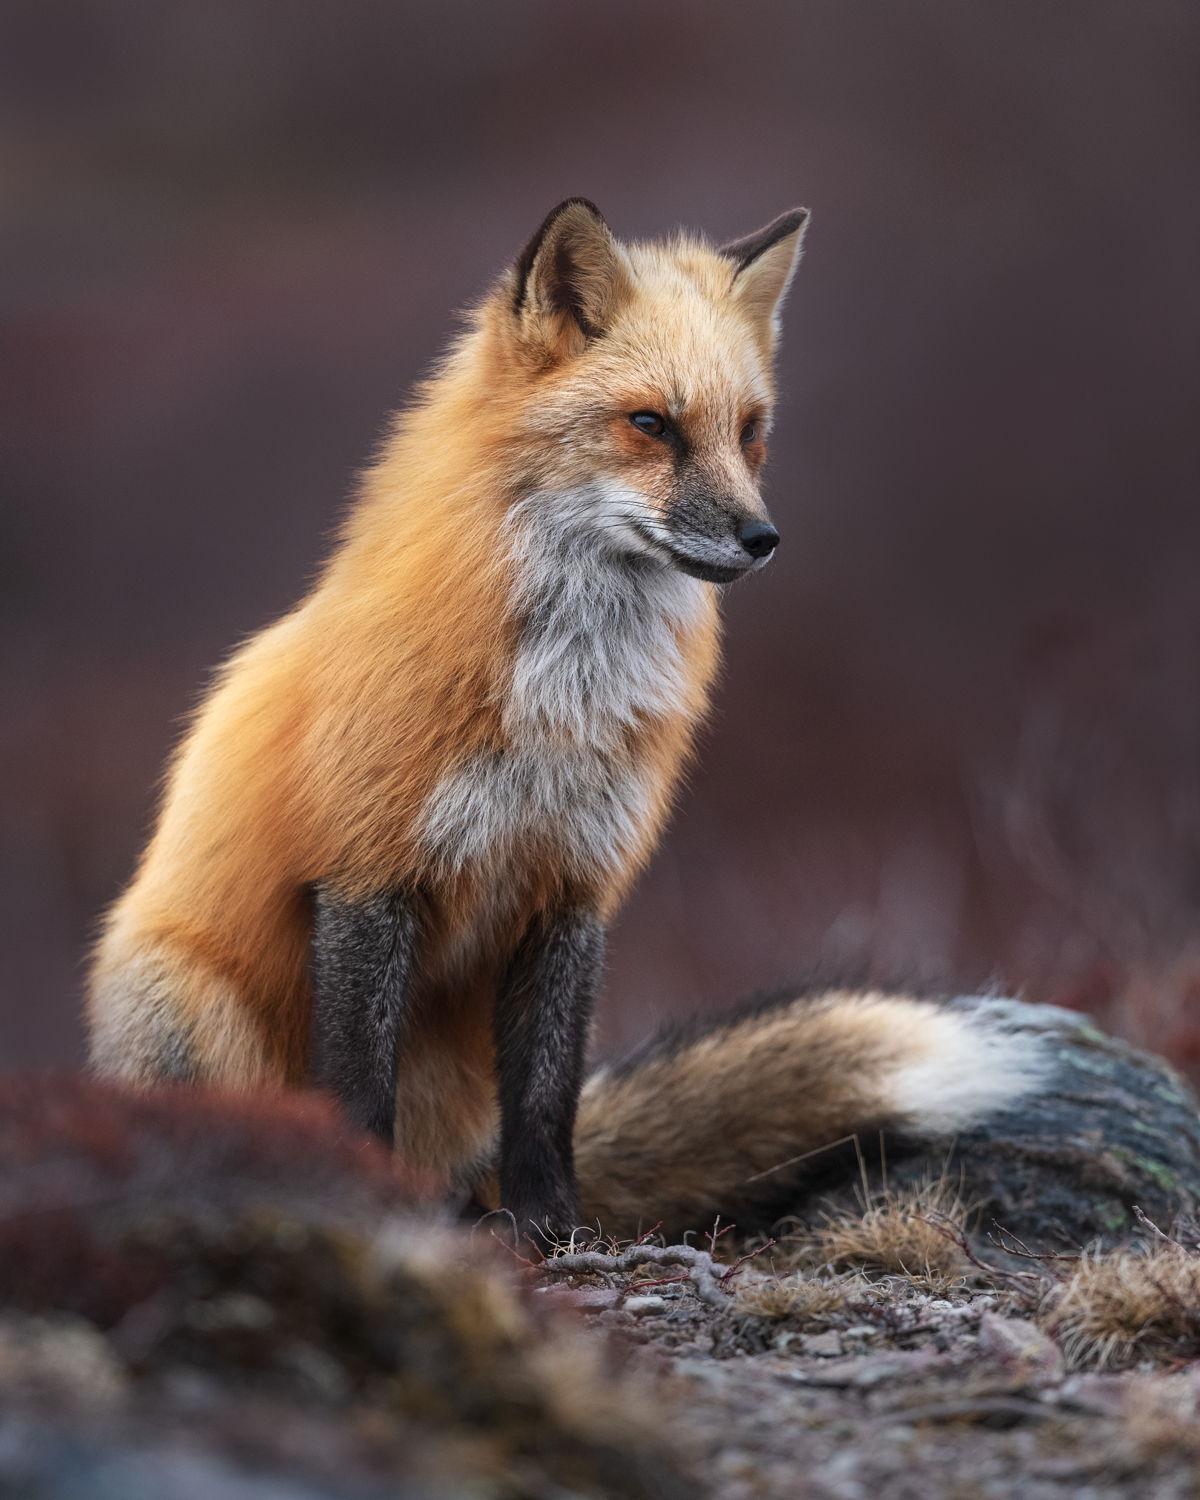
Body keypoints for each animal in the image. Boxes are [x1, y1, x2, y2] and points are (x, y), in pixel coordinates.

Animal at [87, 199, 1045, 1246]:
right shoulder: (367, 878)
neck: (560, 713)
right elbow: (357, 1087)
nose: (763, 540)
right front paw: (372, 1210)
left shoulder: (572, 889)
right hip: (180, 1005)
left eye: (749, 431)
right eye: (650, 424)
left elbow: (549, 1101)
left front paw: (554, 1232)